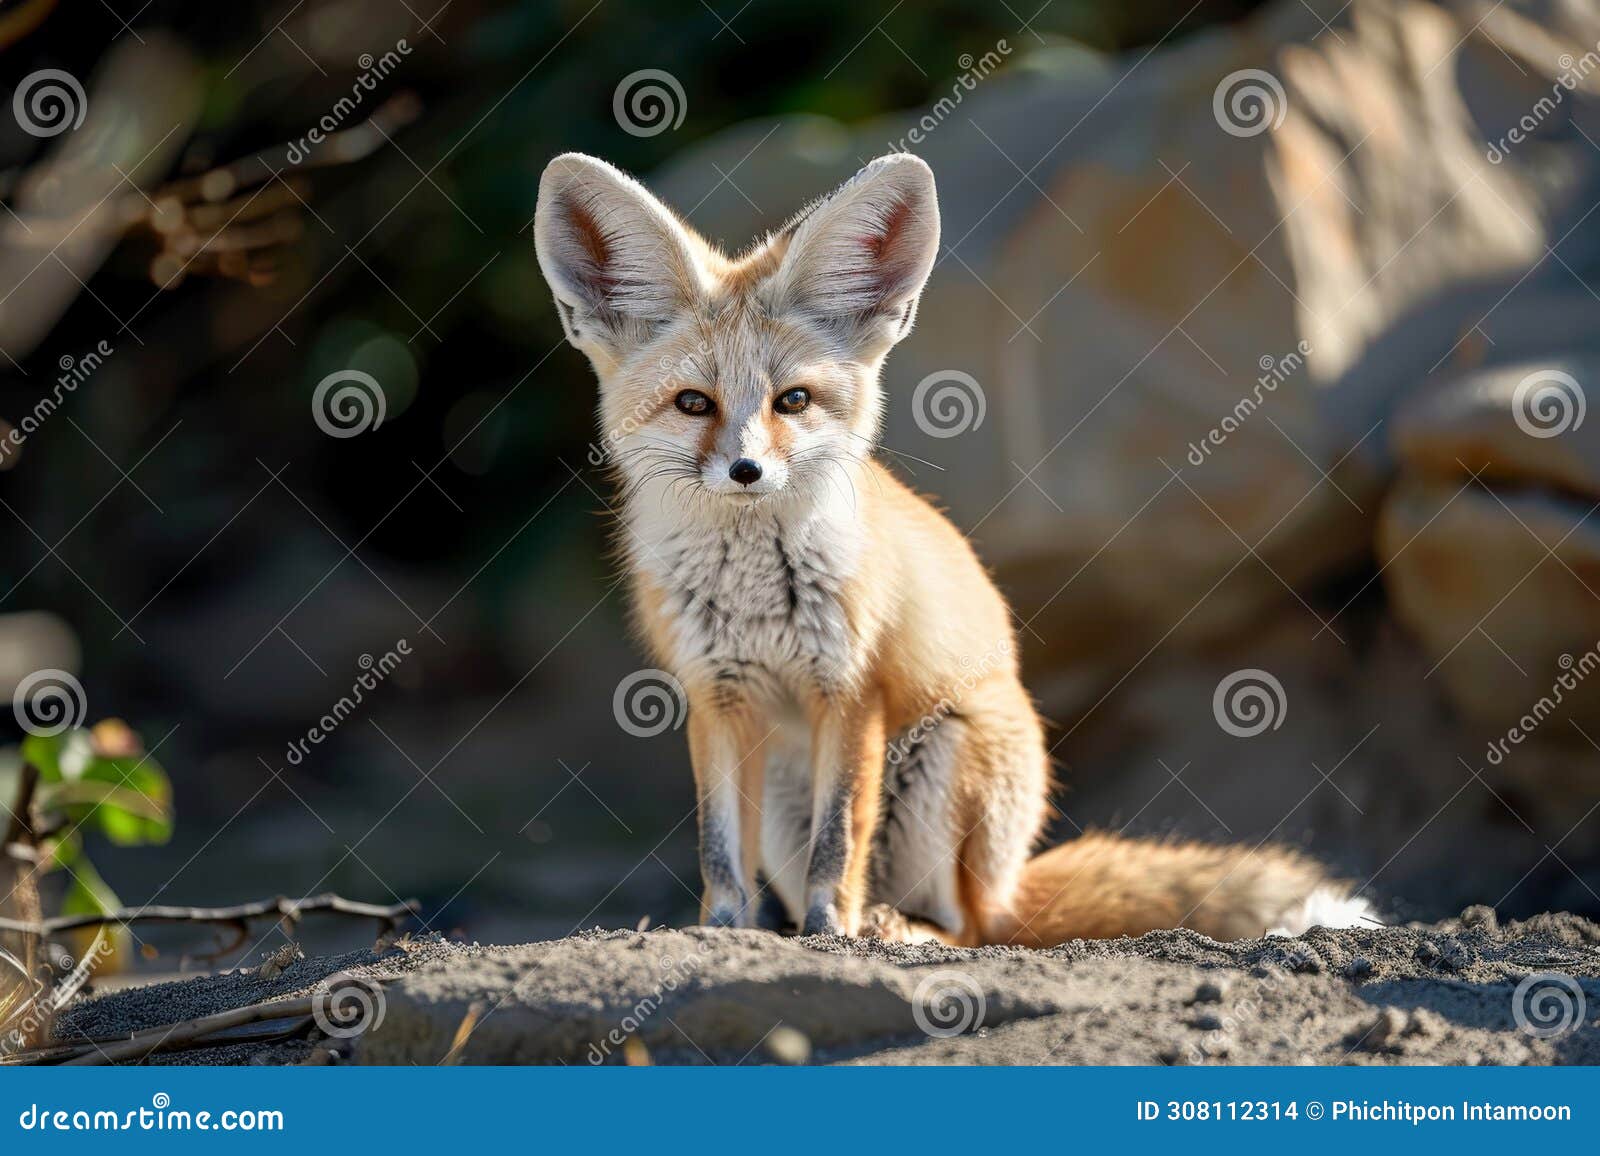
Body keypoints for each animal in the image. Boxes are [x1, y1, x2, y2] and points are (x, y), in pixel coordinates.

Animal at [532, 151, 1375, 945]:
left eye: (792, 401)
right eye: (693, 404)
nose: (746, 471)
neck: (754, 597)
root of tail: (1010, 884)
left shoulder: (853, 689)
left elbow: (840, 841)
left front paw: (829, 932)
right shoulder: (716, 694)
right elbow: (718, 853)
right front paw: (723, 931)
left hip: (949, 750)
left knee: (967, 927)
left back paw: (895, 926)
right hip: (780, 790)